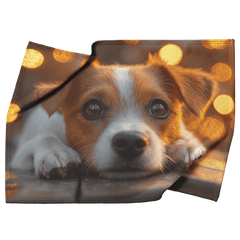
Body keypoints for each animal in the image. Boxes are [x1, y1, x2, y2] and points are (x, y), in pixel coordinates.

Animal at [9, 53, 218, 179]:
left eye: (159, 108)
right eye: (92, 108)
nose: (130, 142)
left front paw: (186, 145)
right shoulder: (19, 156)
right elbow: (44, 138)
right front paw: (54, 152)